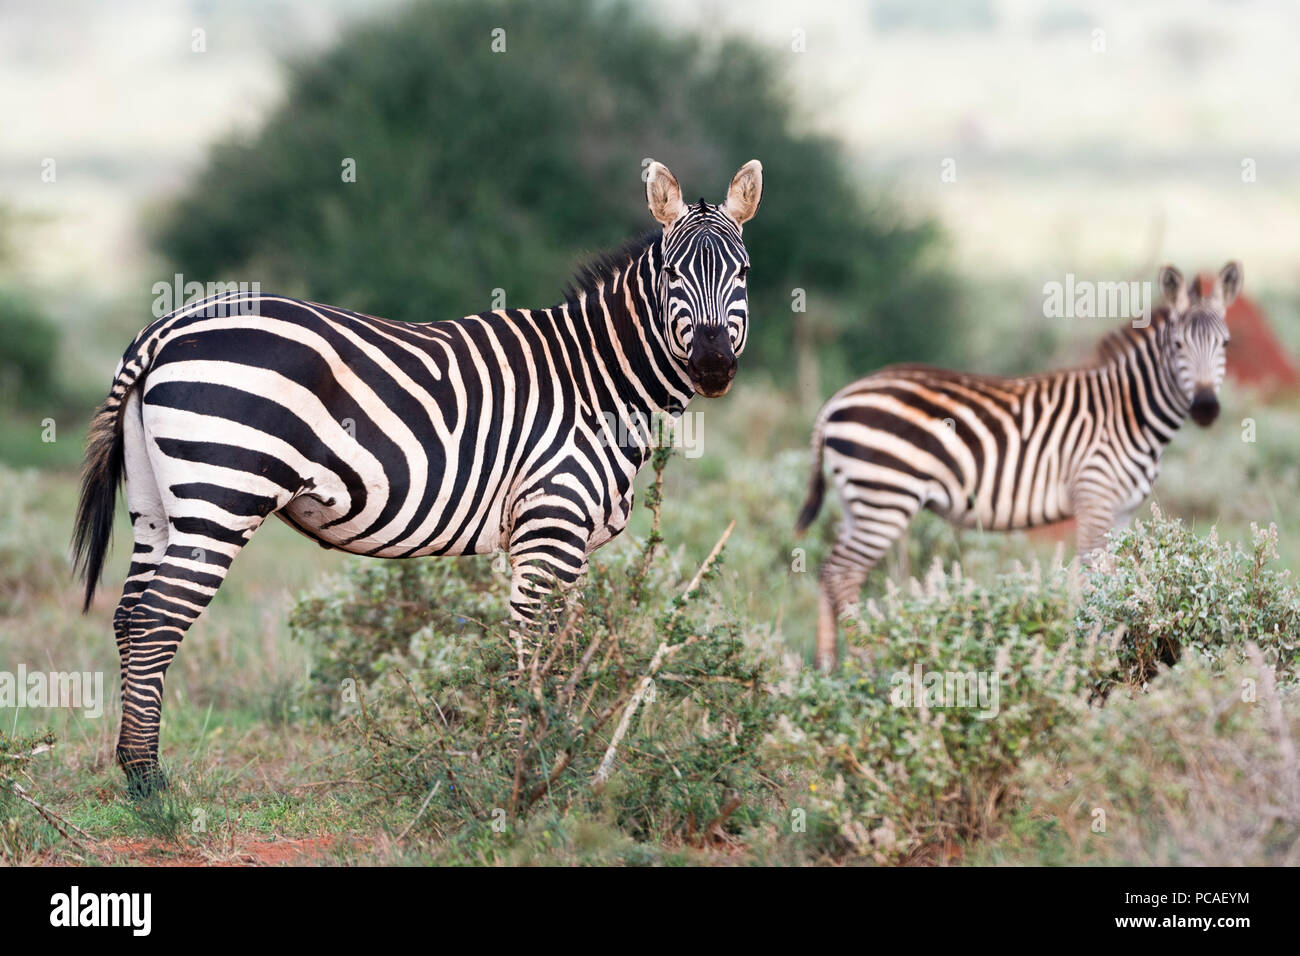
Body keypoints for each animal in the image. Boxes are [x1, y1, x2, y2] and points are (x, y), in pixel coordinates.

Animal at [72, 159, 763, 793]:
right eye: (672, 273)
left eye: (745, 273)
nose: (712, 366)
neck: (595, 378)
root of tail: (166, 326)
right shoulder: (551, 525)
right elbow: (531, 648)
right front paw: (525, 767)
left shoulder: (570, 543)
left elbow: (562, 649)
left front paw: (552, 753)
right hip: (221, 496)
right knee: (157, 619)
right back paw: (150, 784)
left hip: (157, 505)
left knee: (128, 616)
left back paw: (132, 767)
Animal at [795, 261, 1241, 671]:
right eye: (1178, 345)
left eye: (1226, 344)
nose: (1205, 408)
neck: (1128, 412)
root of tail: (836, 399)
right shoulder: (1094, 495)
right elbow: (1091, 579)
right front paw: (1092, 650)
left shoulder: (1122, 510)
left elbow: (1115, 581)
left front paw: (1118, 640)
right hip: (886, 496)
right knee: (844, 573)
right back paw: (870, 662)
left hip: (859, 500)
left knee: (828, 570)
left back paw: (828, 668)